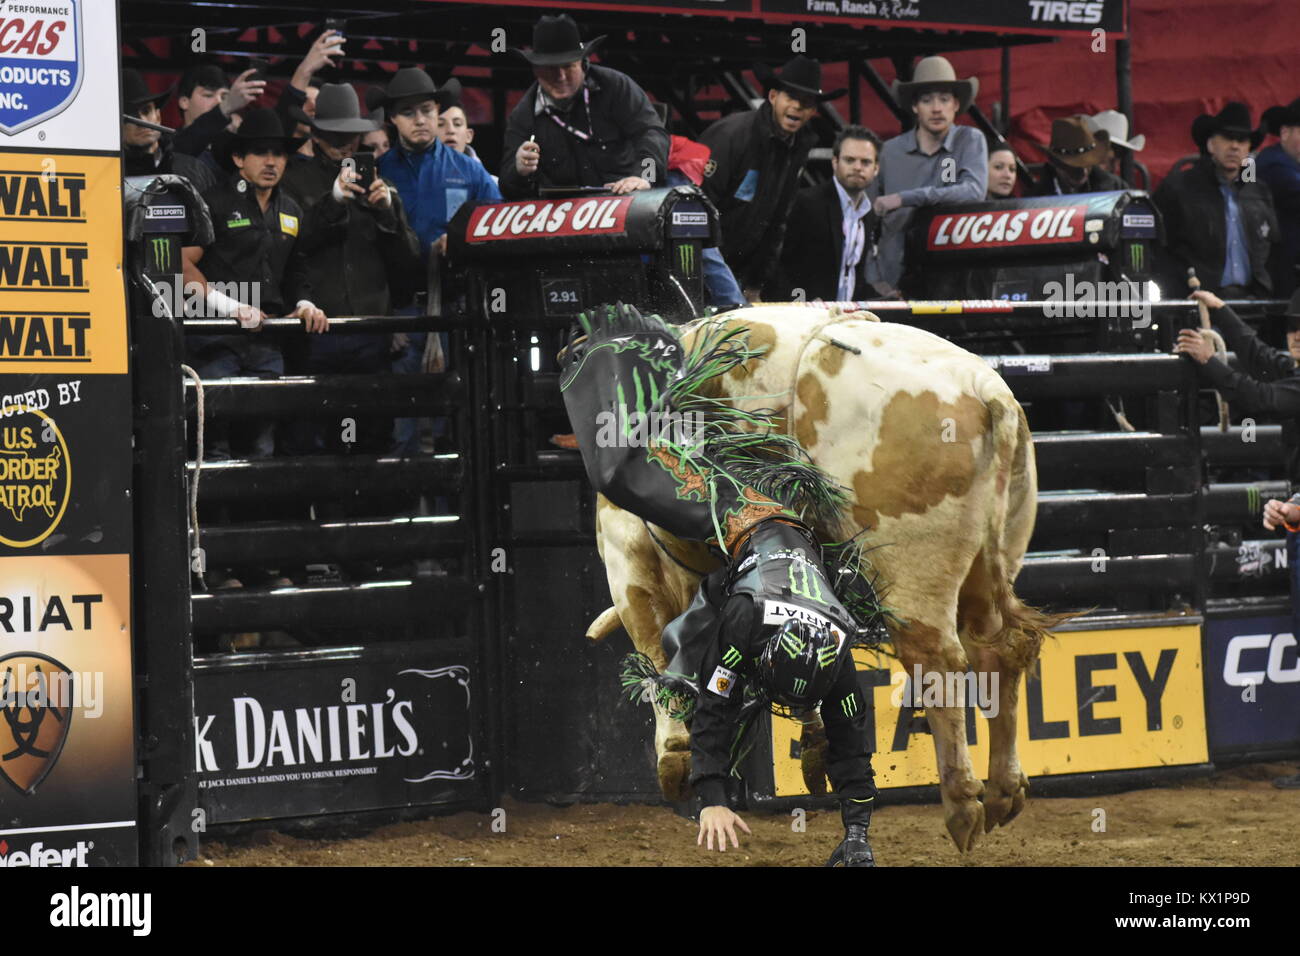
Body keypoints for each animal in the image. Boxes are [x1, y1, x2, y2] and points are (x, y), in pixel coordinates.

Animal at [583, 305, 1066, 853]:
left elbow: (653, 645)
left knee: (939, 659)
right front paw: (813, 745)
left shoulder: (627, 557)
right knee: (1000, 648)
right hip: (995, 556)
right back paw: (1005, 789)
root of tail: (986, 392)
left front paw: (674, 754)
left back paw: (963, 802)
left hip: (914, 574)